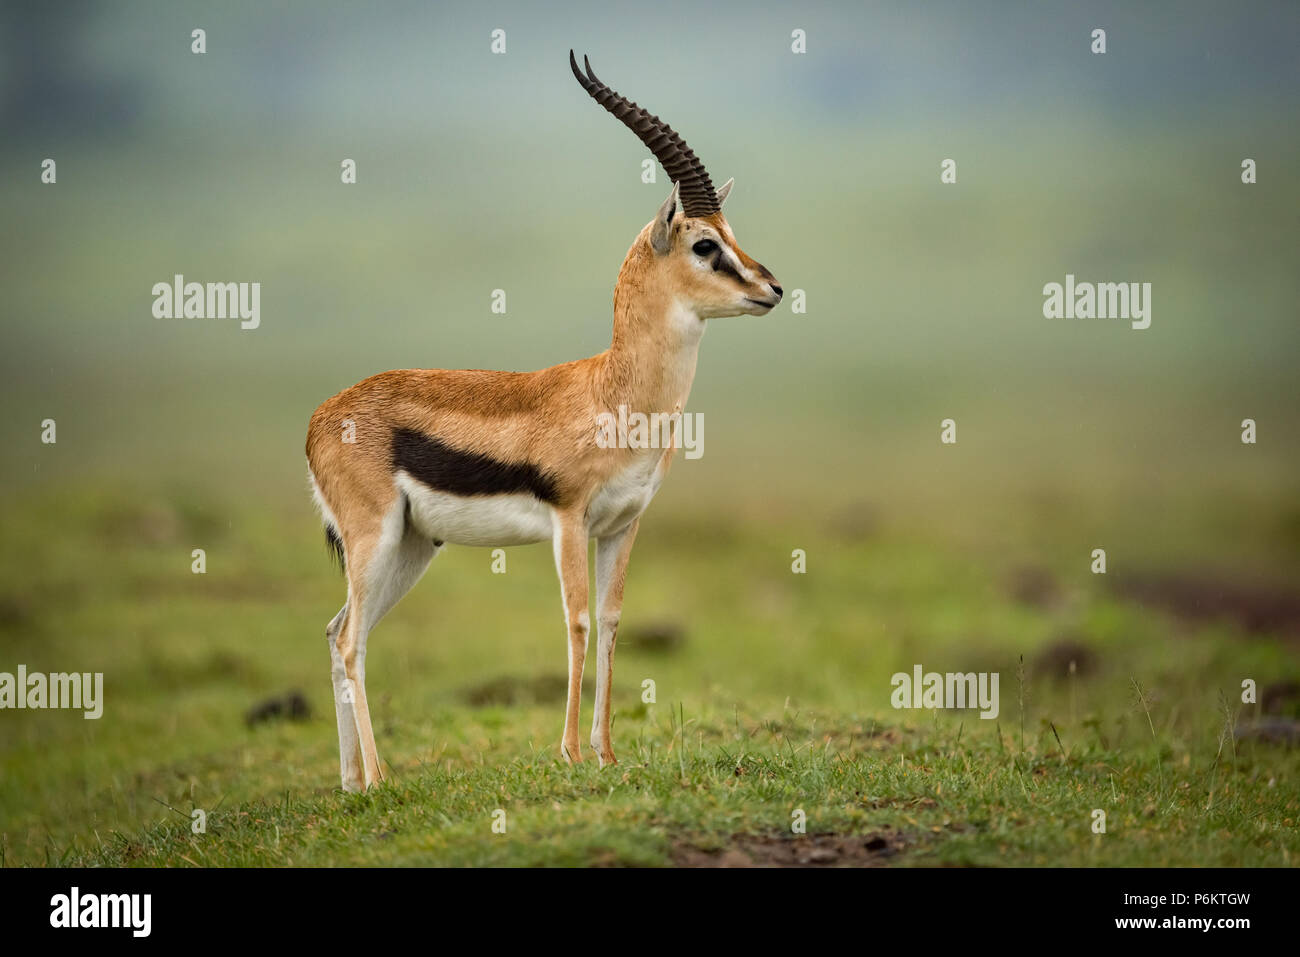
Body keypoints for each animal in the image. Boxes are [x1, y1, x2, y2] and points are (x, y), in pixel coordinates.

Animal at [306, 52, 782, 792]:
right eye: (706, 245)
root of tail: (320, 418)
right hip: (374, 538)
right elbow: (577, 621)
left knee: (336, 632)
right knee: (352, 639)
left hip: (411, 547)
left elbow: (612, 621)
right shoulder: (569, 519)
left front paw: (608, 754)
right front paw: (570, 753)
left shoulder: (622, 524)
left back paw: (352, 782)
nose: (772, 288)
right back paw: (380, 780)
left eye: (733, 236)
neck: (614, 392)